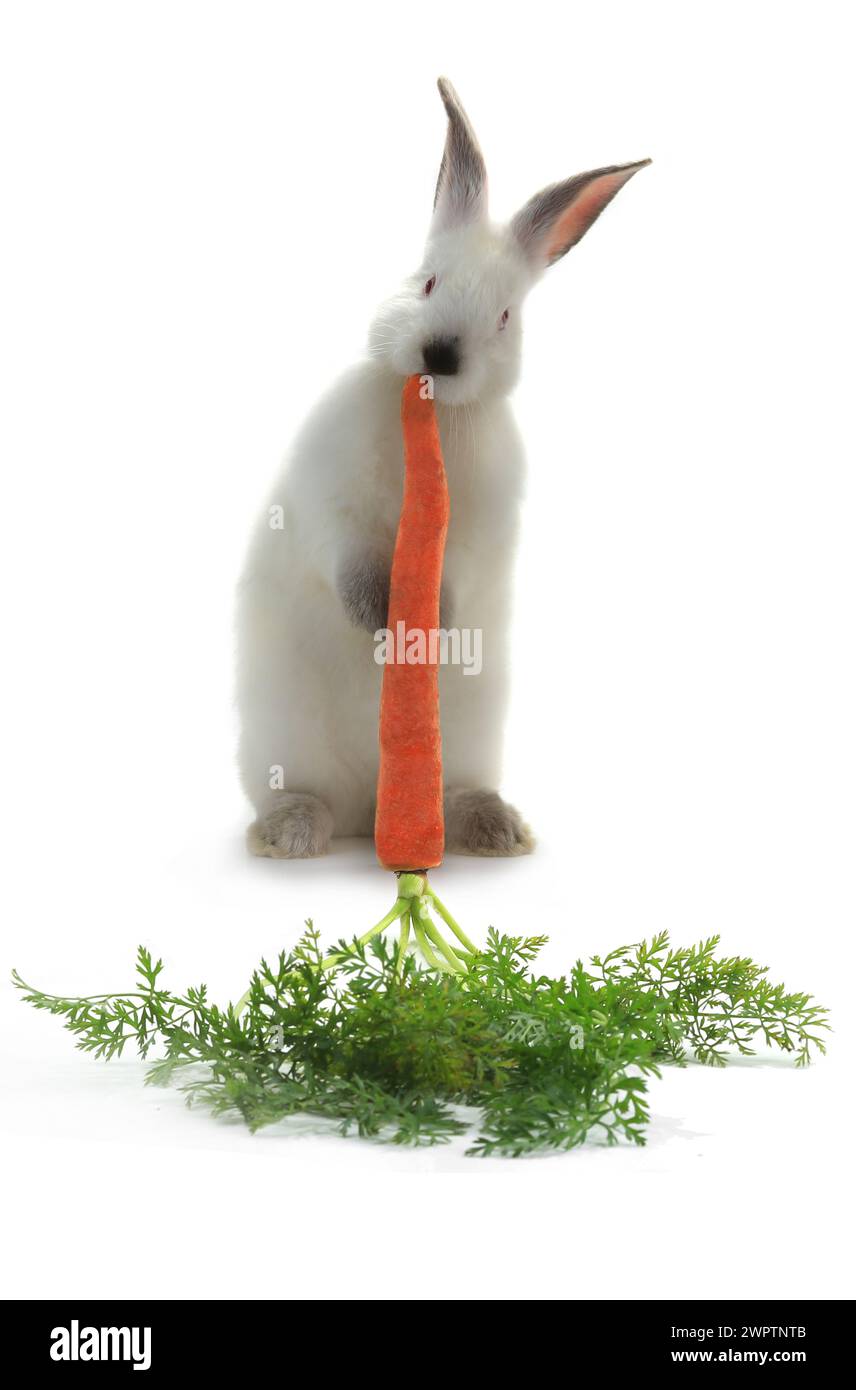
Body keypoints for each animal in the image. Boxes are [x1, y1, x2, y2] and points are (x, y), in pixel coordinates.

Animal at [237, 77, 648, 859]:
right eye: (427, 283)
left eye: (506, 318)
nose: (441, 355)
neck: (426, 423)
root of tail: (370, 813)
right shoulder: (331, 506)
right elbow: (345, 556)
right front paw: (380, 620)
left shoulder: (478, 531)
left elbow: (455, 572)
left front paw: (428, 627)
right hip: (285, 732)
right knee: (306, 795)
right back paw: (289, 833)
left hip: (471, 734)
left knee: (454, 791)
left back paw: (495, 826)